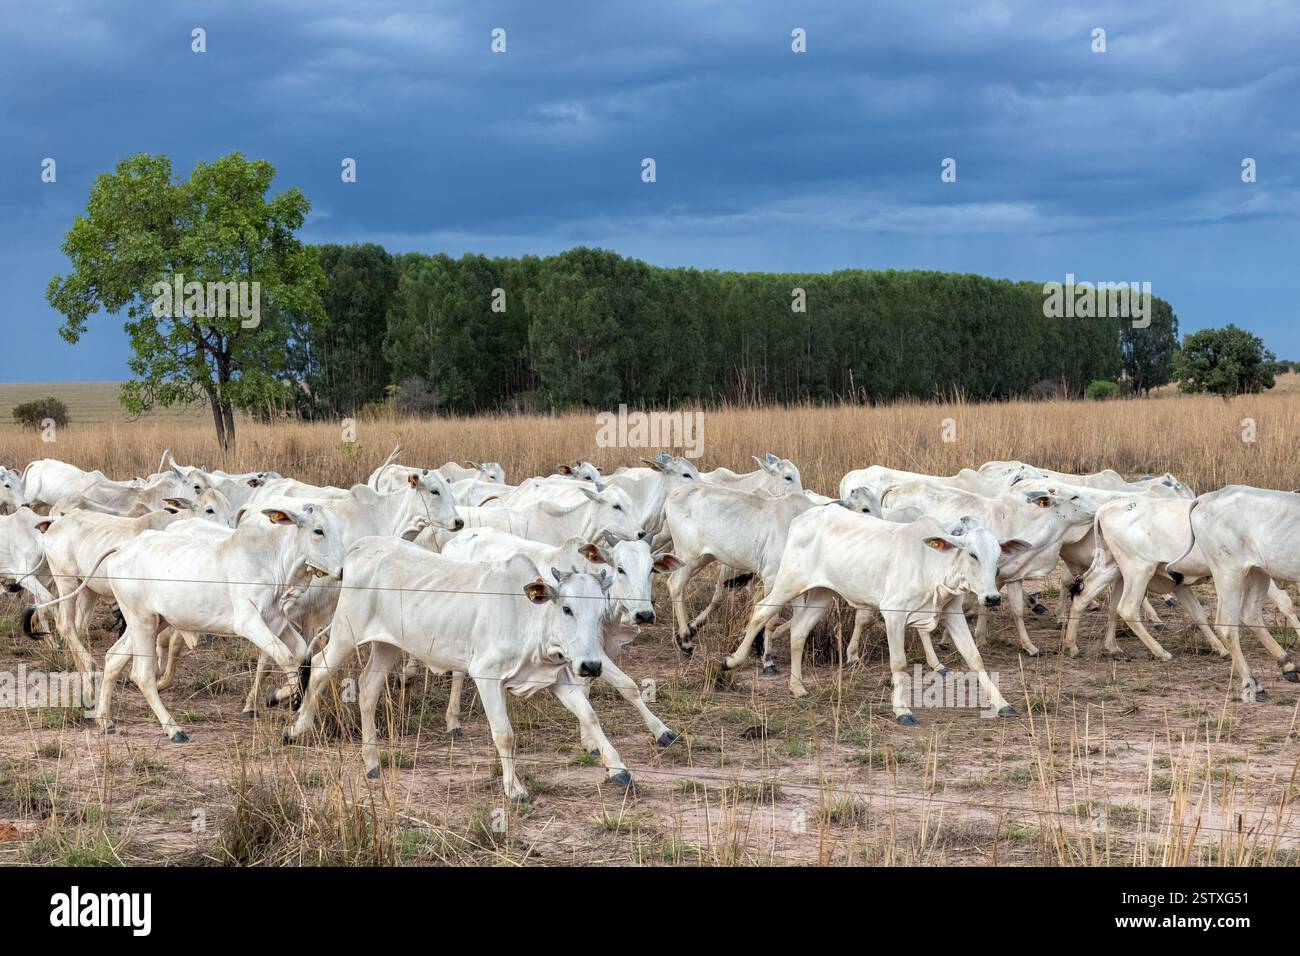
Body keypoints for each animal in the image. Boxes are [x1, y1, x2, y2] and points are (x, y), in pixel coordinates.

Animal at [284, 540, 626, 802]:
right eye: (567, 609)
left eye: (599, 613)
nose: (591, 665)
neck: (529, 615)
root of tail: (363, 545)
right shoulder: (486, 674)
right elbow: (504, 734)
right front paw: (514, 789)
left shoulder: (558, 675)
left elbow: (589, 715)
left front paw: (618, 768)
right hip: (346, 632)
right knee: (319, 669)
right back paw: (296, 728)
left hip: (387, 645)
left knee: (368, 687)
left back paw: (372, 763)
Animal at [722, 507, 1023, 718]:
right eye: (972, 554)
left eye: (998, 556)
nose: (992, 598)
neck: (934, 563)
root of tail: (802, 518)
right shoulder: (894, 614)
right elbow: (899, 663)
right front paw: (902, 710)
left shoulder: (952, 613)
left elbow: (975, 658)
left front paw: (1002, 704)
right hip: (788, 582)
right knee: (761, 612)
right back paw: (733, 660)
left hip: (823, 594)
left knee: (798, 631)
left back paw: (797, 687)